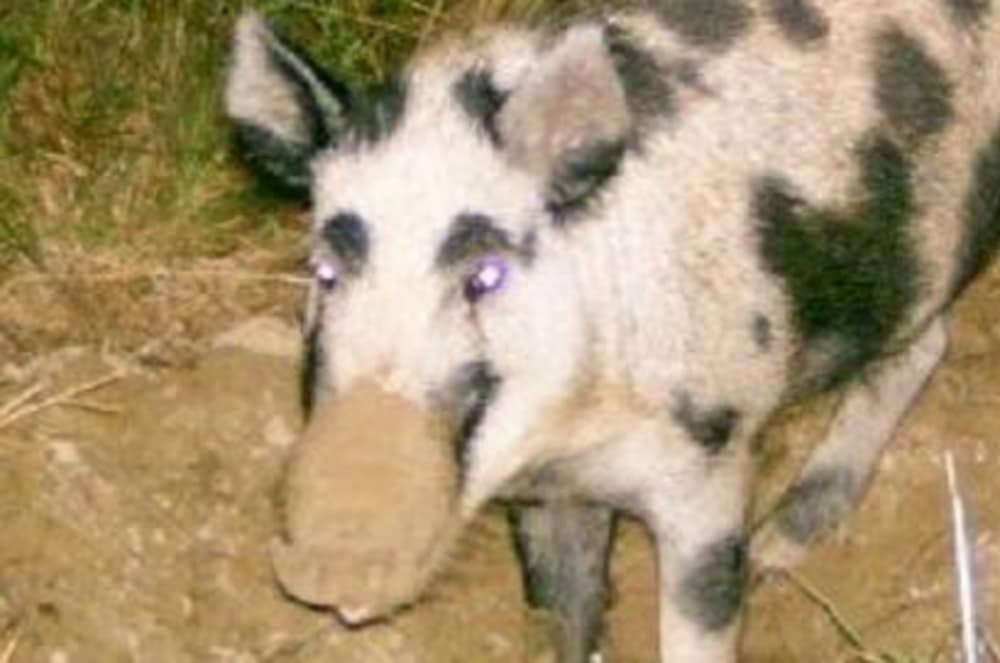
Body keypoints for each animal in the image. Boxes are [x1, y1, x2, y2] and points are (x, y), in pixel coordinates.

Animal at [225, 2, 1000, 661]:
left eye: (486, 275)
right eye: (325, 270)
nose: (338, 542)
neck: (578, 432)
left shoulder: (709, 460)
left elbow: (699, 620)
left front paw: (749, 571)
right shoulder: (545, 497)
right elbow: (562, 613)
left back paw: (773, 549)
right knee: (921, 346)